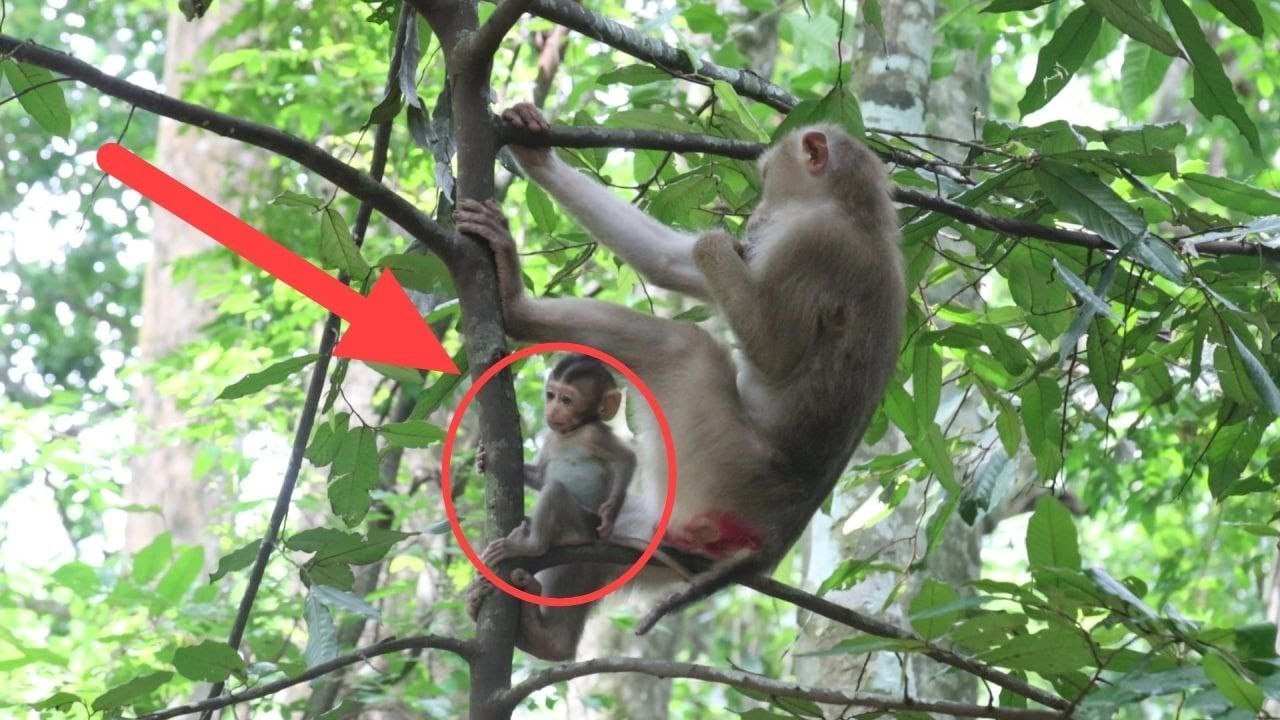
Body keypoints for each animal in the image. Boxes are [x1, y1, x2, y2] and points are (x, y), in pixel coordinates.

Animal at [454, 102, 905, 655]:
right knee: (601, 540)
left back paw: (515, 307)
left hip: (718, 466)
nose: (755, 215)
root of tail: (771, 542)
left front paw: (715, 243)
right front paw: (535, 150)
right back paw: (548, 637)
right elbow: (671, 262)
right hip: (663, 531)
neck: (856, 213)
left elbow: (772, 351)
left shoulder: (813, 243)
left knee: (684, 348)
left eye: (767, 180)